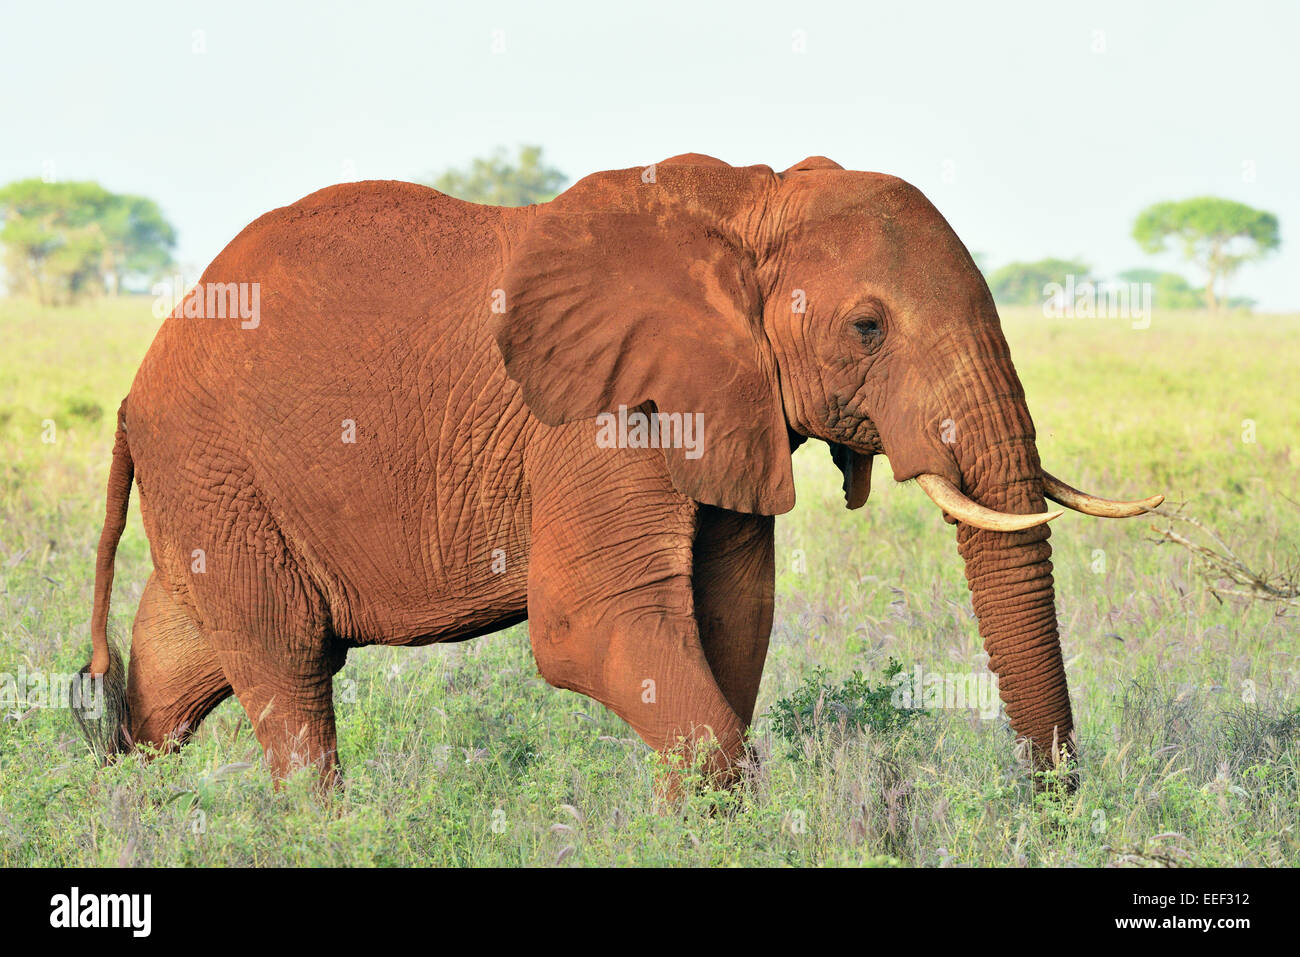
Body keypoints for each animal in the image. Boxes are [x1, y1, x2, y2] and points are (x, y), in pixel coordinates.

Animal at [77, 152, 1161, 792]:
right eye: (867, 326)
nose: (1053, 801)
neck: (748, 202)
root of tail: (136, 381)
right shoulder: (596, 417)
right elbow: (595, 628)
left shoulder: (726, 402)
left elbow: (730, 618)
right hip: (215, 460)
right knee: (288, 663)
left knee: (183, 660)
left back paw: (128, 798)